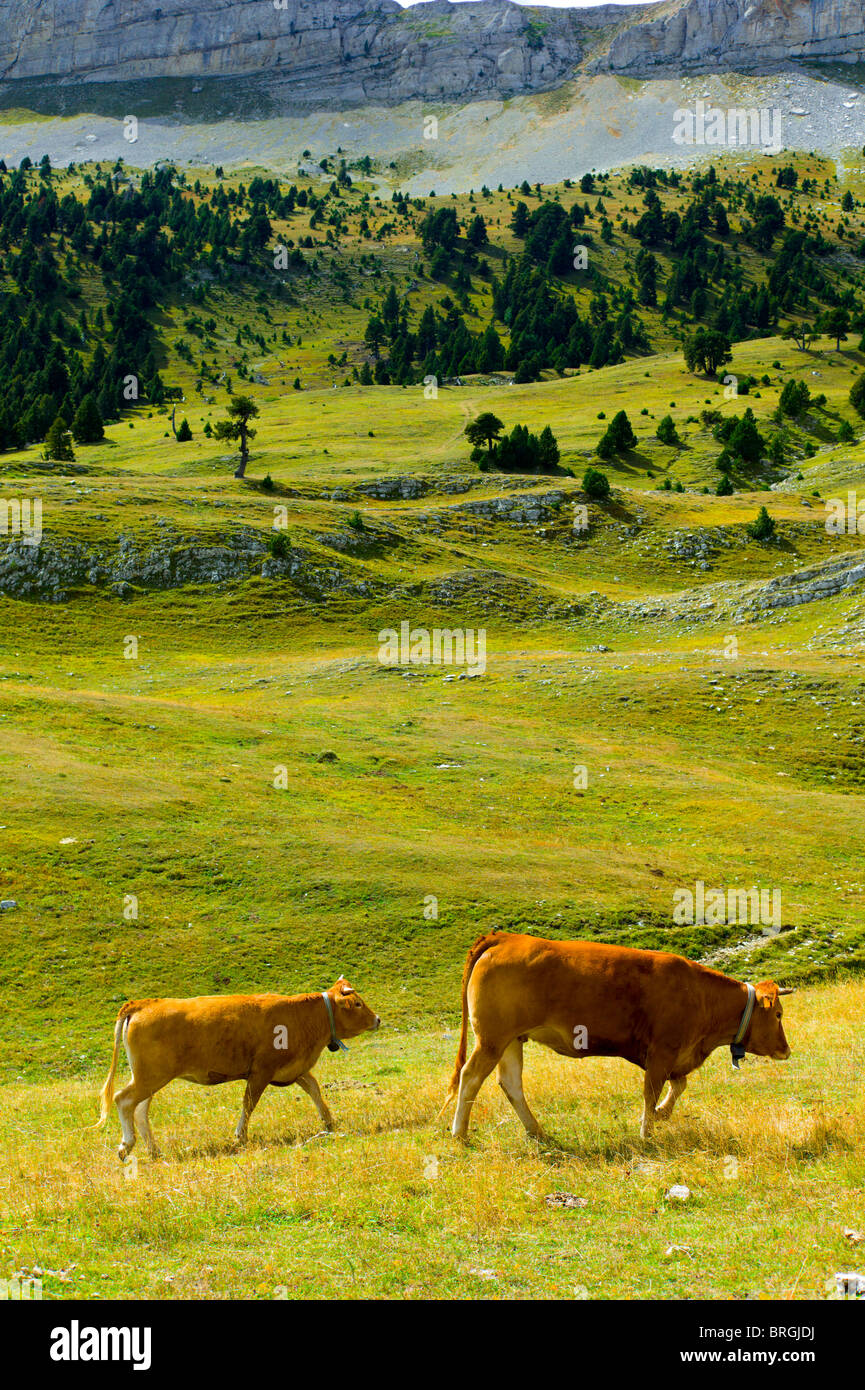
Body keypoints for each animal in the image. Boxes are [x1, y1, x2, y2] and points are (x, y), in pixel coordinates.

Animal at [96, 979, 381, 1159]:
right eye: (357, 1004)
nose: (377, 1019)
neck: (303, 1015)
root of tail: (144, 1003)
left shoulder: (295, 1068)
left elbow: (315, 1091)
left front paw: (329, 1123)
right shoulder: (261, 1071)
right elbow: (249, 1103)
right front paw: (240, 1136)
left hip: (149, 1077)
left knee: (140, 1110)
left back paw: (154, 1151)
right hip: (150, 1076)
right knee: (123, 1100)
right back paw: (126, 1145)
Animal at [439, 933, 793, 1141]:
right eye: (778, 1014)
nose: (787, 1050)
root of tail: (504, 937)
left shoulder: (672, 1054)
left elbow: (679, 1085)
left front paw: (662, 1113)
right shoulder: (662, 1050)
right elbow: (652, 1091)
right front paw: (647, 1132)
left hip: (512, 1039)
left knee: (510, 1083)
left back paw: (536, 1131)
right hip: (492, 1038)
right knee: (471, 1077)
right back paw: (460, 1134)